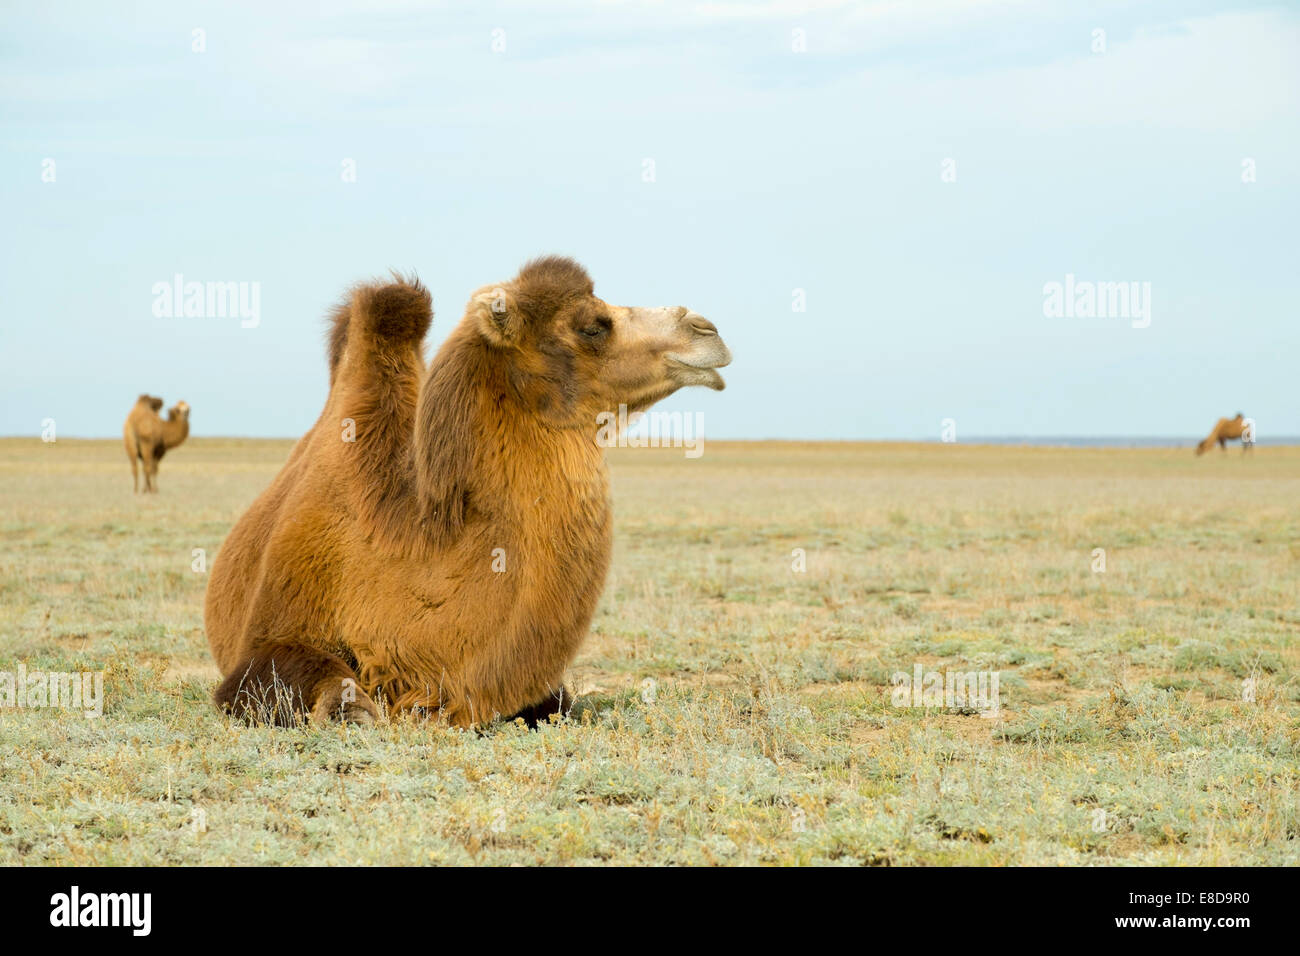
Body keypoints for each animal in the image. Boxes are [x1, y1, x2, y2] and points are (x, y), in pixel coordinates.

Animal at [205, 256, 731, 728]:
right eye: (593, 327)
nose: (708, 330)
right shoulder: (271, 630)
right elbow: (334, 697)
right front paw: (348, 708)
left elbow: (556, 703)